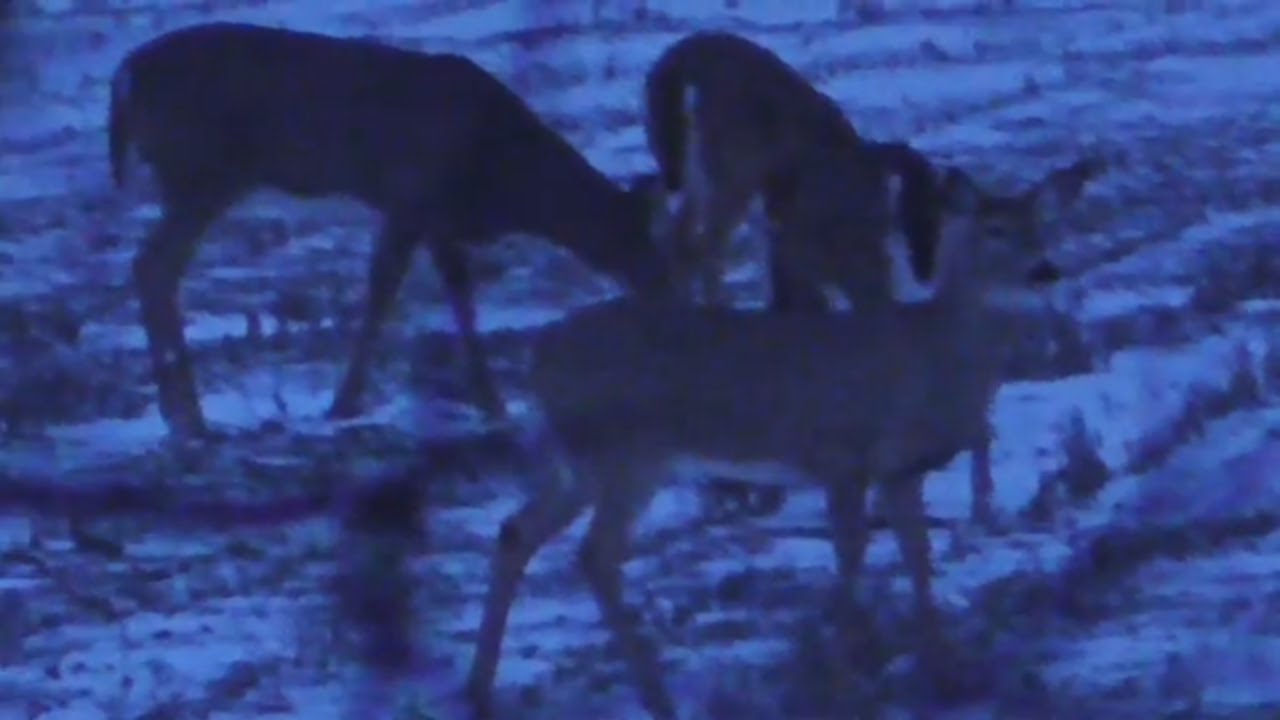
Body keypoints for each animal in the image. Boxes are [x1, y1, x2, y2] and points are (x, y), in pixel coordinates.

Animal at [108, 22, 670, 437]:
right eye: (644, 244)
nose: (665, 298)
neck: (502, 172)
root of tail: (127, 73)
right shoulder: (412, 197)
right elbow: (388, 291)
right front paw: (346, 403)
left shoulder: (435, 218)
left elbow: (453, 294)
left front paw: (487, 400)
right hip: (202, 171)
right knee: (154, 264)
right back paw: (189, 417)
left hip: (197, 176)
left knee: (156, 265)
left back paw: (181, 413)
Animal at [462, 158, 1069, 719]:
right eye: (995, 230)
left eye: (1039, 225)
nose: (1044, 270)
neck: (929, 353)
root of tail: (538, 355)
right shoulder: (841, 454)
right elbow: (852, 556)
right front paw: (841, 677)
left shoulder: (899, 468)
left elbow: (918, 558)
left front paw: (946, 676)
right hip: (625, 455)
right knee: (594, 555)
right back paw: (657, 699)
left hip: (580, 462)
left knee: (516, 532)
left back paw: (481, 691)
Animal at [643, 30, 1106, 528]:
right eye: (997, 232)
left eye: (1040, 230)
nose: (1044, 270)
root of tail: (687, 55)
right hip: (733, 168)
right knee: (696, 249)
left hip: (713, 183)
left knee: (680, 243)